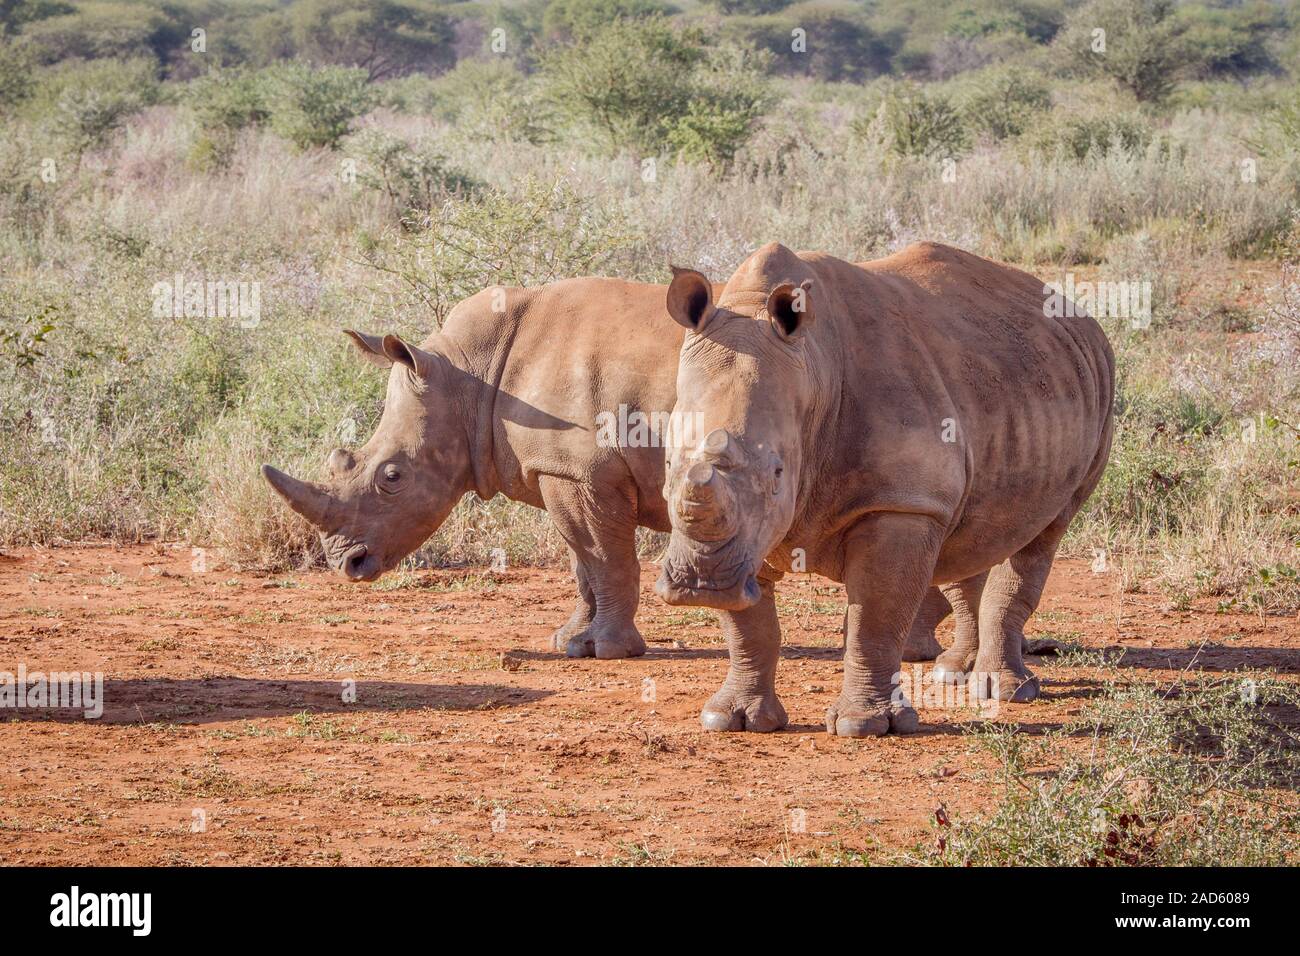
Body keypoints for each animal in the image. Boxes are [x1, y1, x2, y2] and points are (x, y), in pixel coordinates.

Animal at [261, 277, 964, 663]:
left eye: (392, 477)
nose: (346, 564)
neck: (468, 375)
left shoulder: (583, 473)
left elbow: (604, 557)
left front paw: (605, 650)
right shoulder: (564, 473)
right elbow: (583, 563)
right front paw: (568, 641)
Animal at [655, 241, 1115, 736]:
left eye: (778, 473)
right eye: (668, 464)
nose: (702, 583)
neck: (814, 368)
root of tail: (1081, 316)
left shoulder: (901, 503)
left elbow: (874, 615)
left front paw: (863, 726)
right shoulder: (746, 533)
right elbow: (749, 623)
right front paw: (732, 719)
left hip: (1099, 394)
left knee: (1043, 532)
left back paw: (1004, 692)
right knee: (977, 532)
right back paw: (955, 673)